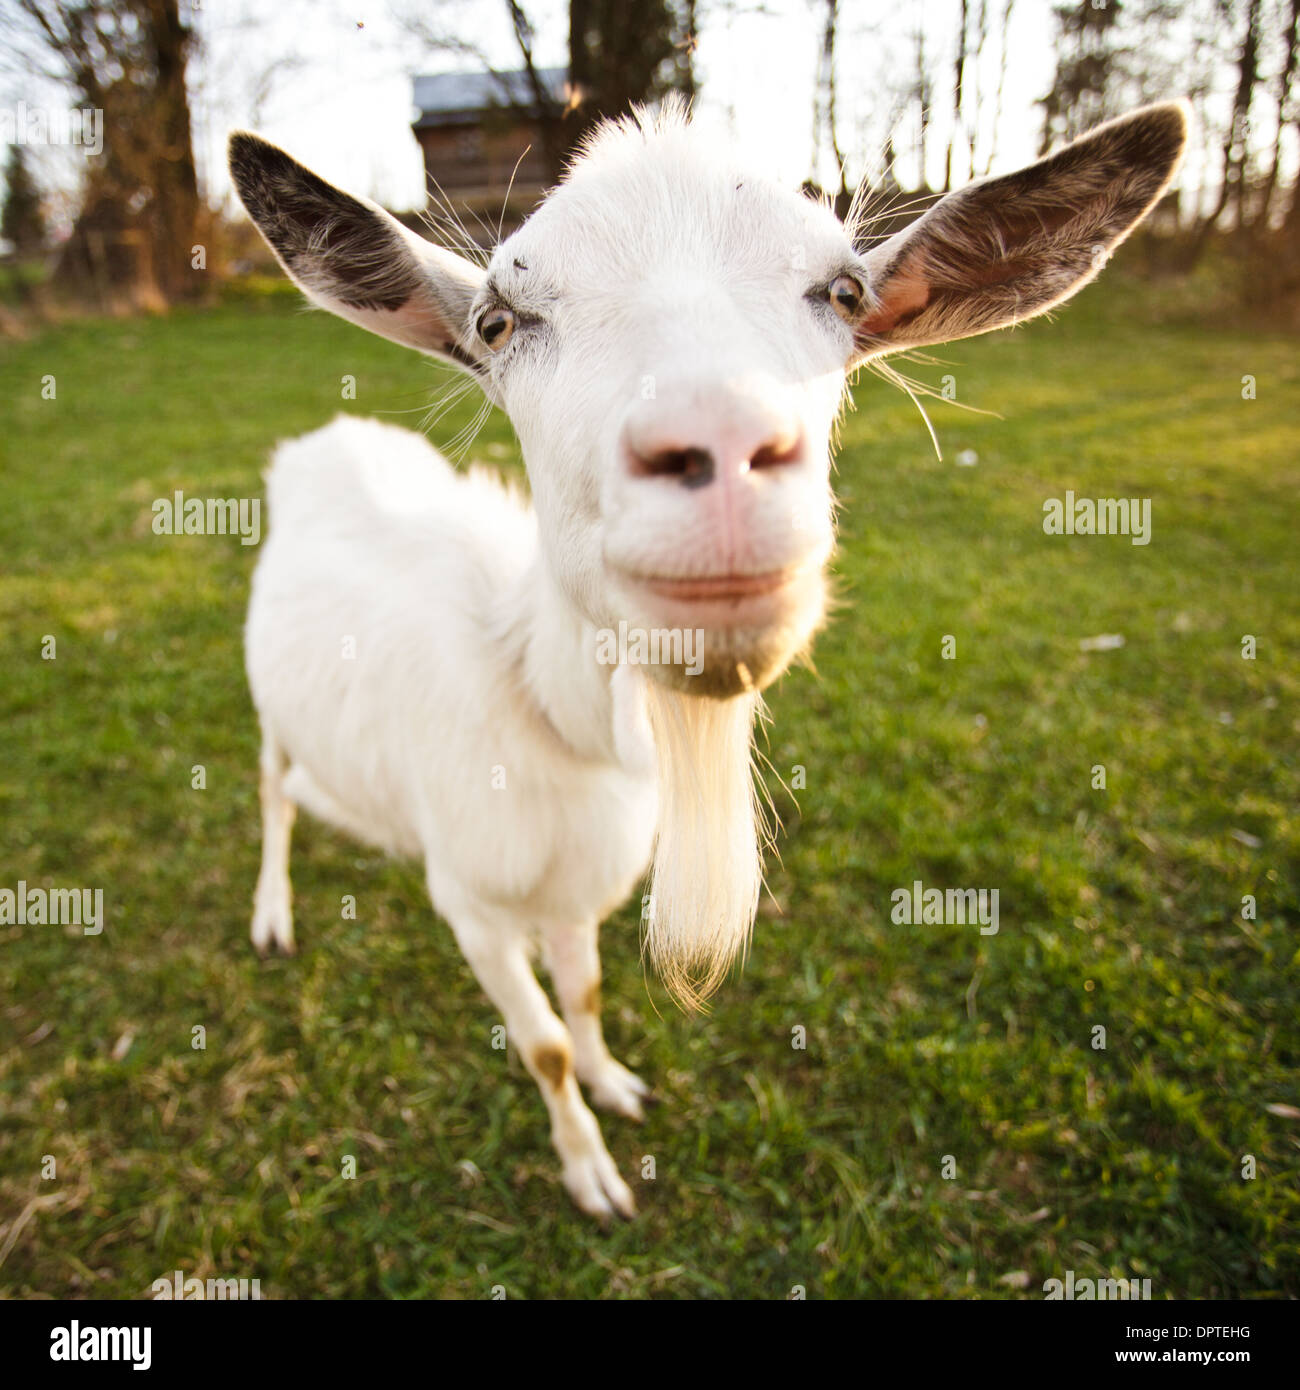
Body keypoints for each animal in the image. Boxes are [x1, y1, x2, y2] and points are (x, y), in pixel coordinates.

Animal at [228, 99, 1187, 1221]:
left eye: (845, 293)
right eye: (499, 321)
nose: (721, 446)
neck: (546, 707)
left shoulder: (580, 888)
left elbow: (586, 996)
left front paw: (616, 1085)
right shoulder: (469, 901)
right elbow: (542, 1047)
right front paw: (591, 1172)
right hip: (268, 705)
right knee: (273, 788)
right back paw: (272, 916)